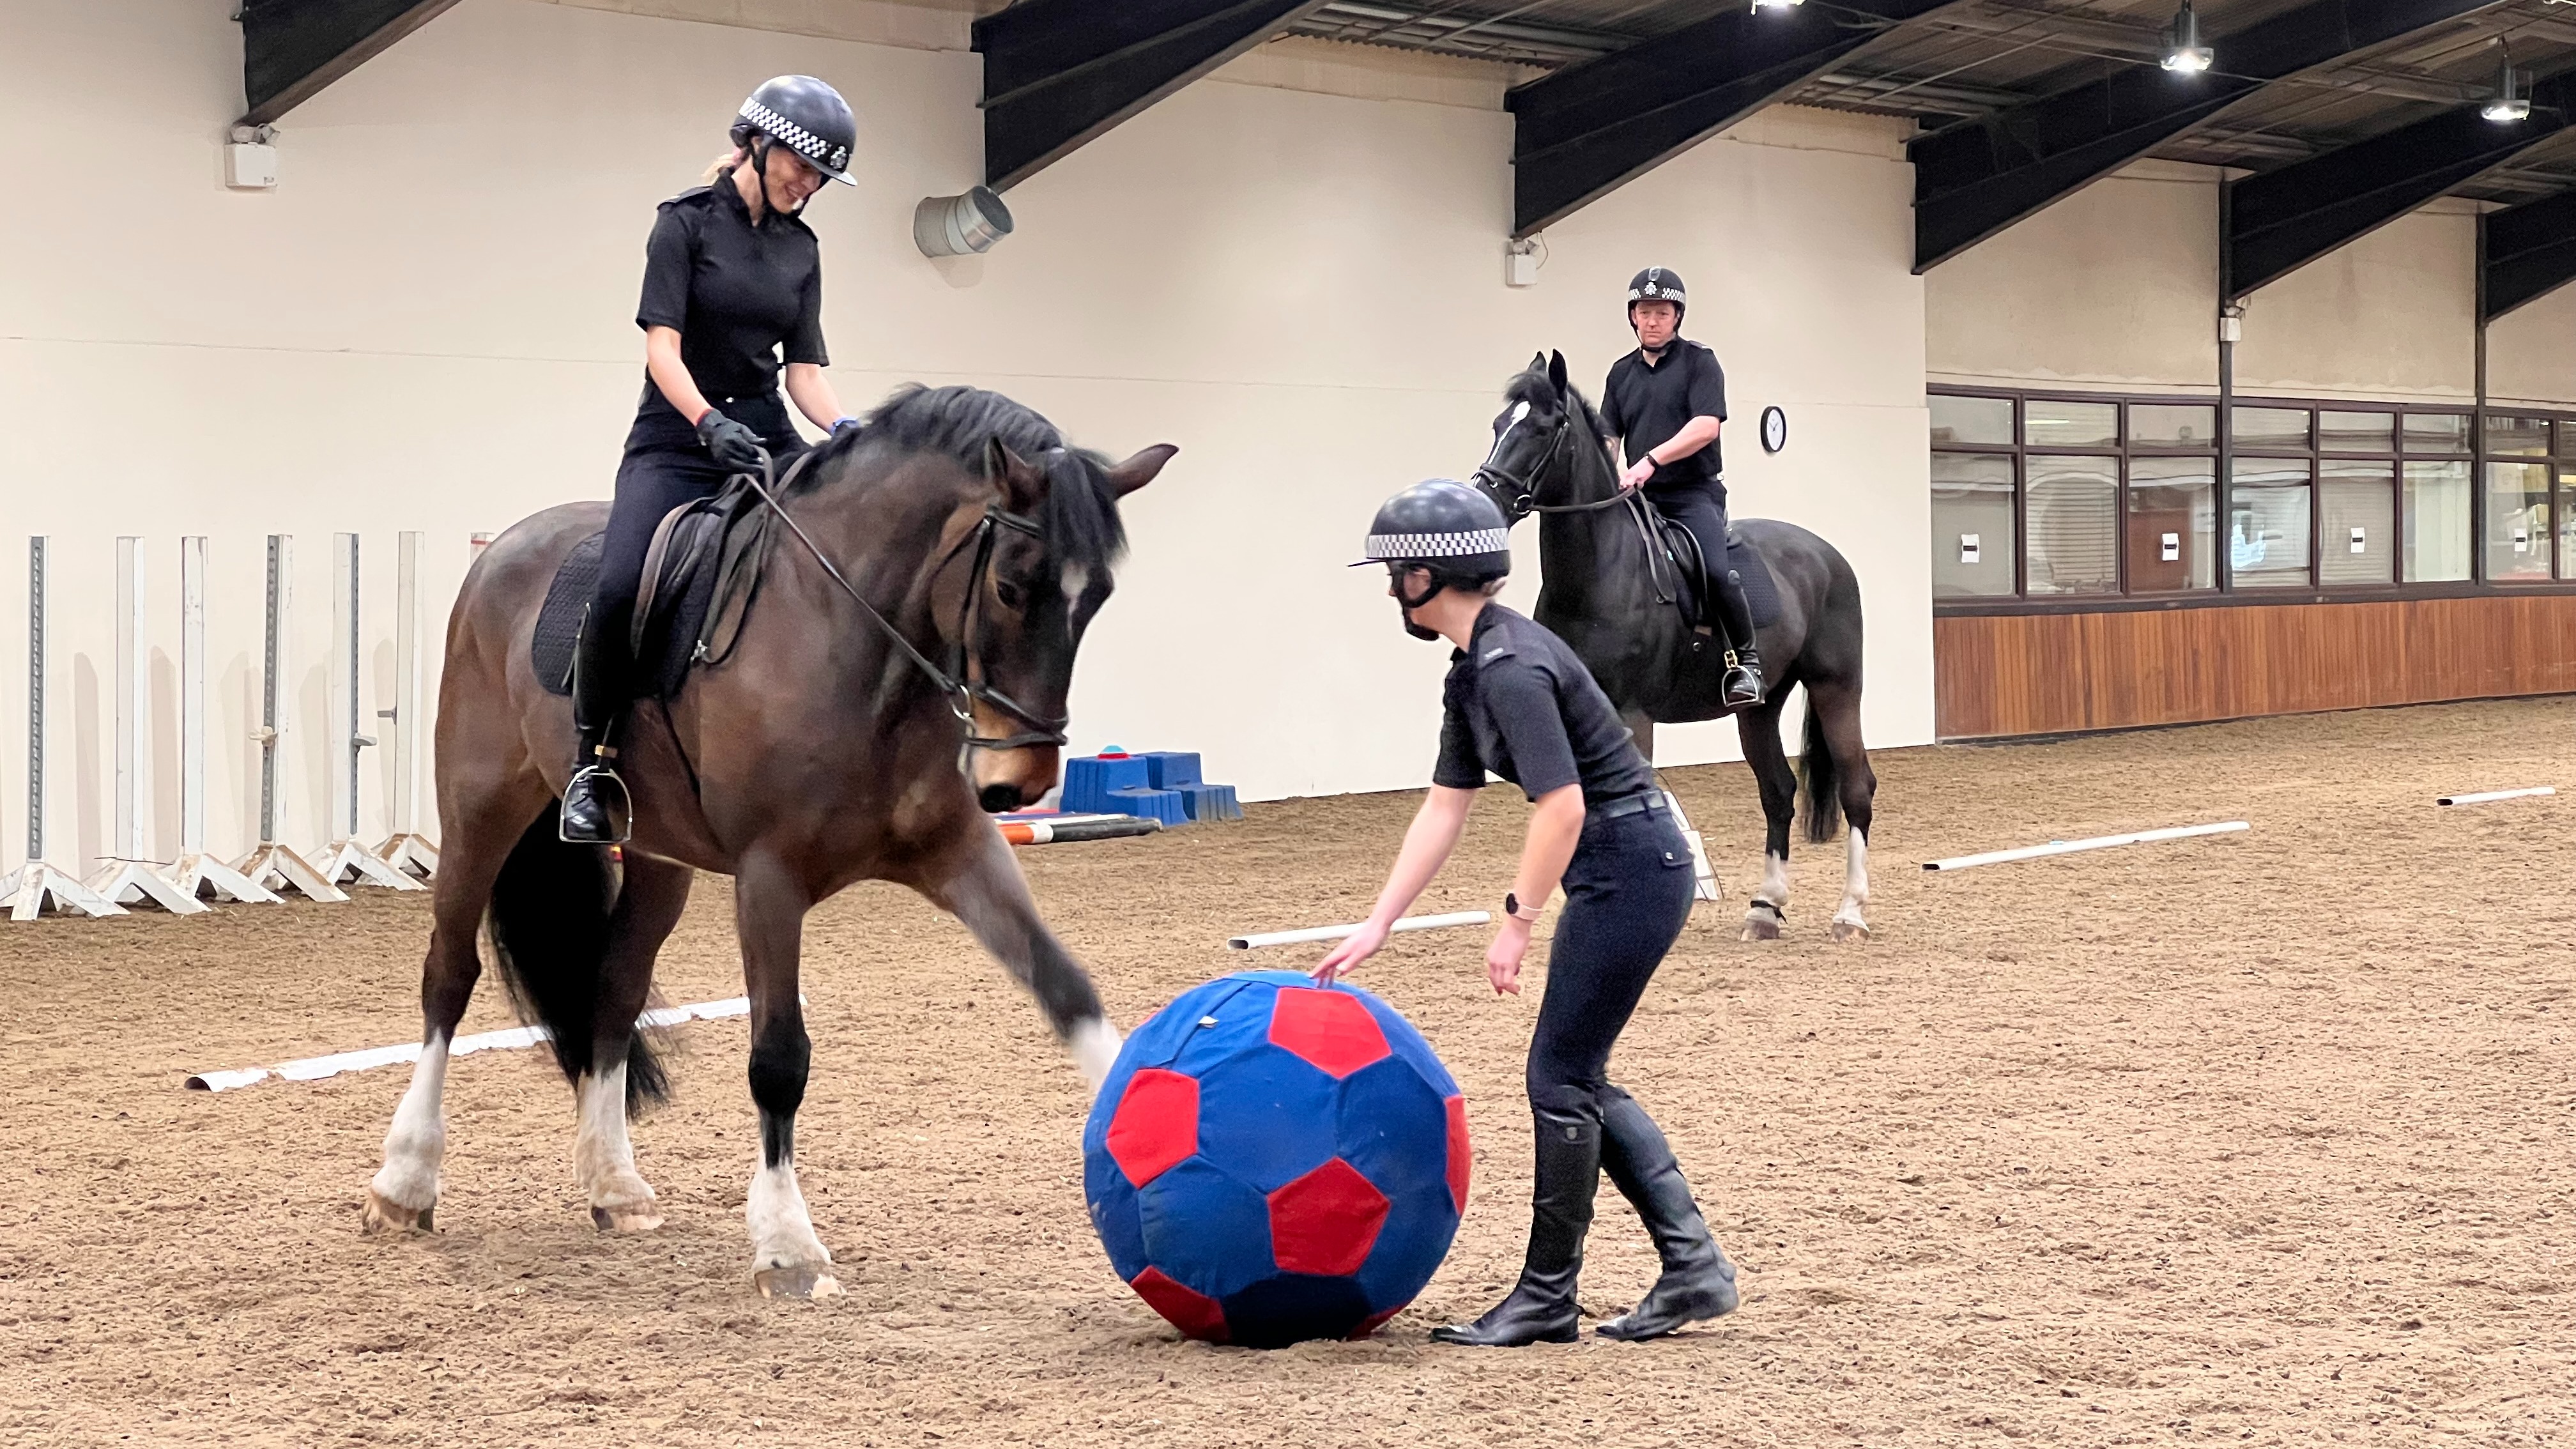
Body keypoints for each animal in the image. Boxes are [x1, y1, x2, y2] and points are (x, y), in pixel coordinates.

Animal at [359, 384, 1175, 1298]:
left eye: (1096, 596)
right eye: (1009, 587)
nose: (1021, 782)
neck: (857, 641)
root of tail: (503, 548)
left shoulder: (961, 851)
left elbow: (1068, 991)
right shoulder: (770, 877)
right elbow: (779, 1058)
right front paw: (788, 1246)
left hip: (658, 857)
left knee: (613, 989)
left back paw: (615, 1185)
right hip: (481, 811)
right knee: (448, 976)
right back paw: (405, 1181)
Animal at [1471, 352, 1875, 943]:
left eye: (1542, 429)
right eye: (1500, 425)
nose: (1484, 499)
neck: (1600, 573)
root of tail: (1827, 555)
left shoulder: (1632, 715)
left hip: (1836, 688)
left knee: (1856, 789)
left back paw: (1850, 914)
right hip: (1759, 706)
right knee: (1777, 791)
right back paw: (1764, 909)